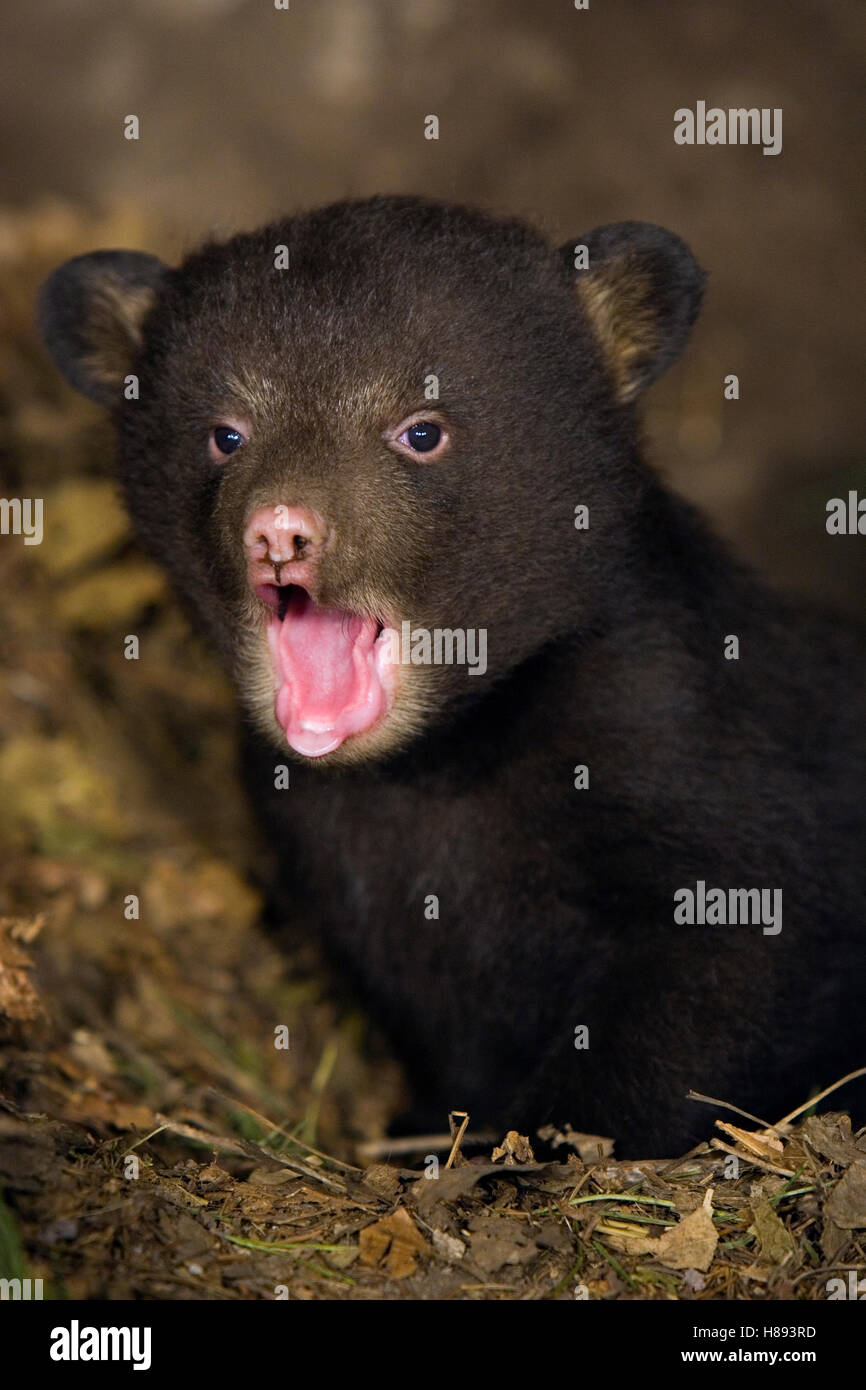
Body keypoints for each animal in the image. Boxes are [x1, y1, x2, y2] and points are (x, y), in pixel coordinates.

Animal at [38, 195, 866, 1156]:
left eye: (421, 430)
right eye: (225, 434)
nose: (282, 529)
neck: (446, 759)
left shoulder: (683, 744)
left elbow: (726, 960)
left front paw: (551, 1142)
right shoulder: (330, 842)